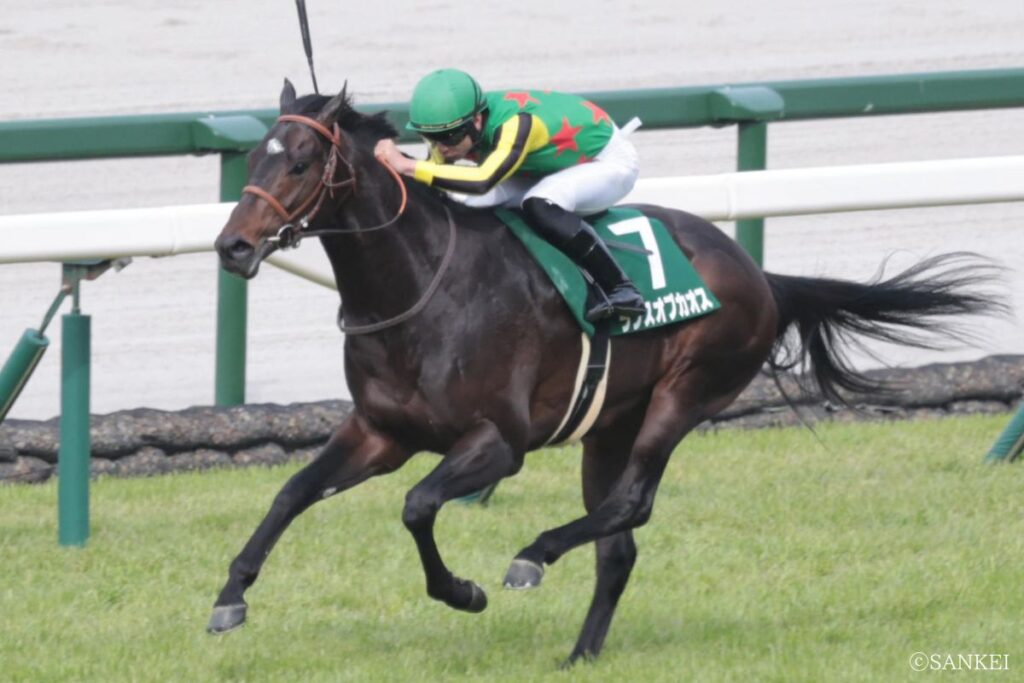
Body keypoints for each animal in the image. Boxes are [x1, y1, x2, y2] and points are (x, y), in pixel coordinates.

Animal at [208, 80, 999, 665]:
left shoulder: (499, 441)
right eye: (252, 160)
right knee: (618, 543)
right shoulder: (380, 431)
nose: (233, 246)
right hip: (607, 425)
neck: (419, 287)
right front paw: (230, 596)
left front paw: (464, 590)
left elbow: (417, 505)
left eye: (300, 163)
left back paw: (533, 556)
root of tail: (758, 274)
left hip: (684, 394)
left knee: (630, 506)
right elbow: (291, 492)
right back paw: (579, 653)